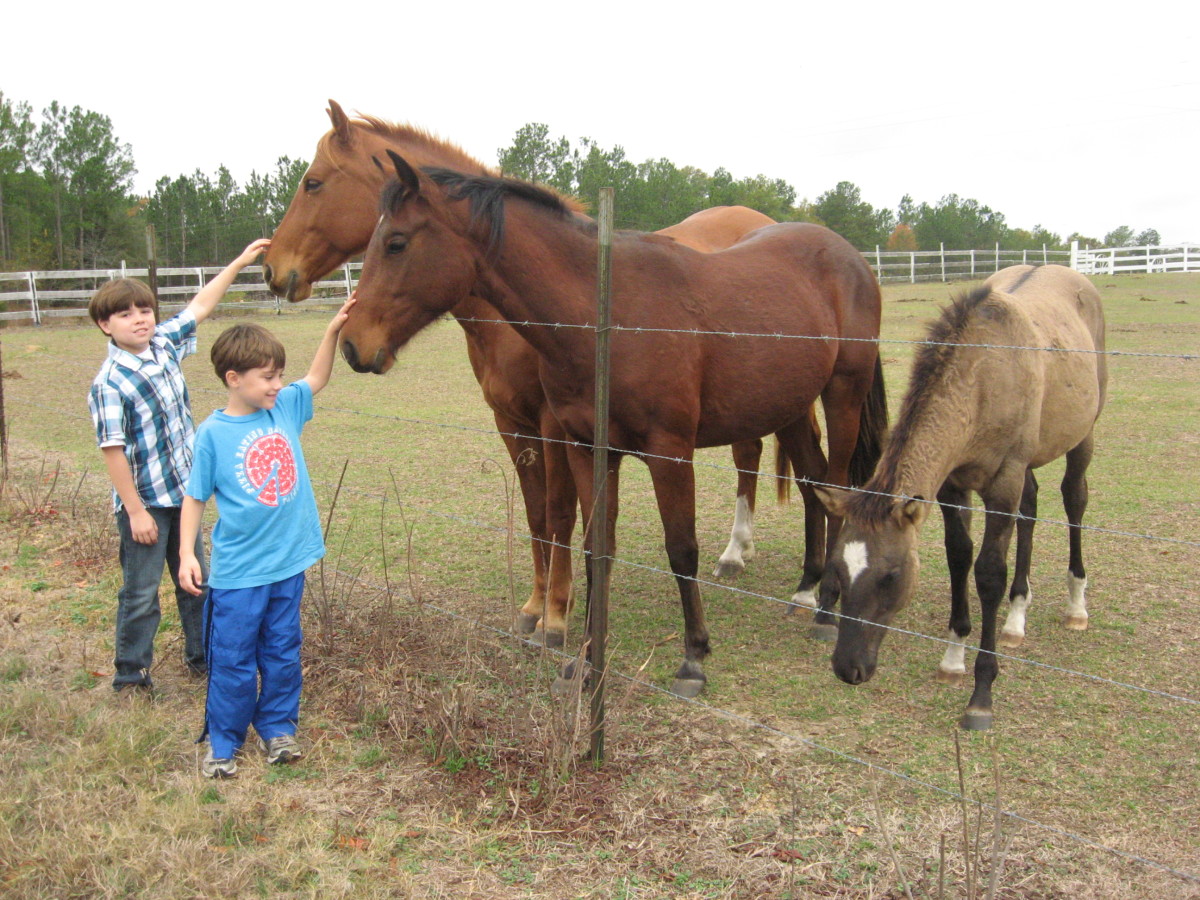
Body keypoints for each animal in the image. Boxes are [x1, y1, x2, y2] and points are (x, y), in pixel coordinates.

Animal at [262, 102, 838, 649]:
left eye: (313, 182)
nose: (272, 269)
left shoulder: (554, 426)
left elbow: (561, 515)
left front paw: (557, 618)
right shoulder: (512, 424)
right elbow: (537, 516)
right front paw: (534, 609)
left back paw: (769, 570)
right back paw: (750, 558)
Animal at [346, 152, 888, 697]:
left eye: (396, 242)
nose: (351, 344)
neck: (605, 317)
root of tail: (851, 258)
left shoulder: (669, 452)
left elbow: (681, 550)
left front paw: (693, 658)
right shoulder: (589, 450)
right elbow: (596, 550)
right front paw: (586, 661)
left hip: (842, 395)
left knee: (837, 487)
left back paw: (826, 612)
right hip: (790, 408)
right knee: (813, 483)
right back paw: (806, 590)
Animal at [814, 264, 1107, 730]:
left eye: (891, 576)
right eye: (838, 571)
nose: (848, 668)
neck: (982, 378)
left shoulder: (1003, 482)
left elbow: (988, 573)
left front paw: (981, 693)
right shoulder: (953, 485)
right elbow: (959, 558)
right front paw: (953, 659)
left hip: (1083, 435)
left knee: (1074, 500)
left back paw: (1076, 604)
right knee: (1030, 511)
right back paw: (1017, 617)